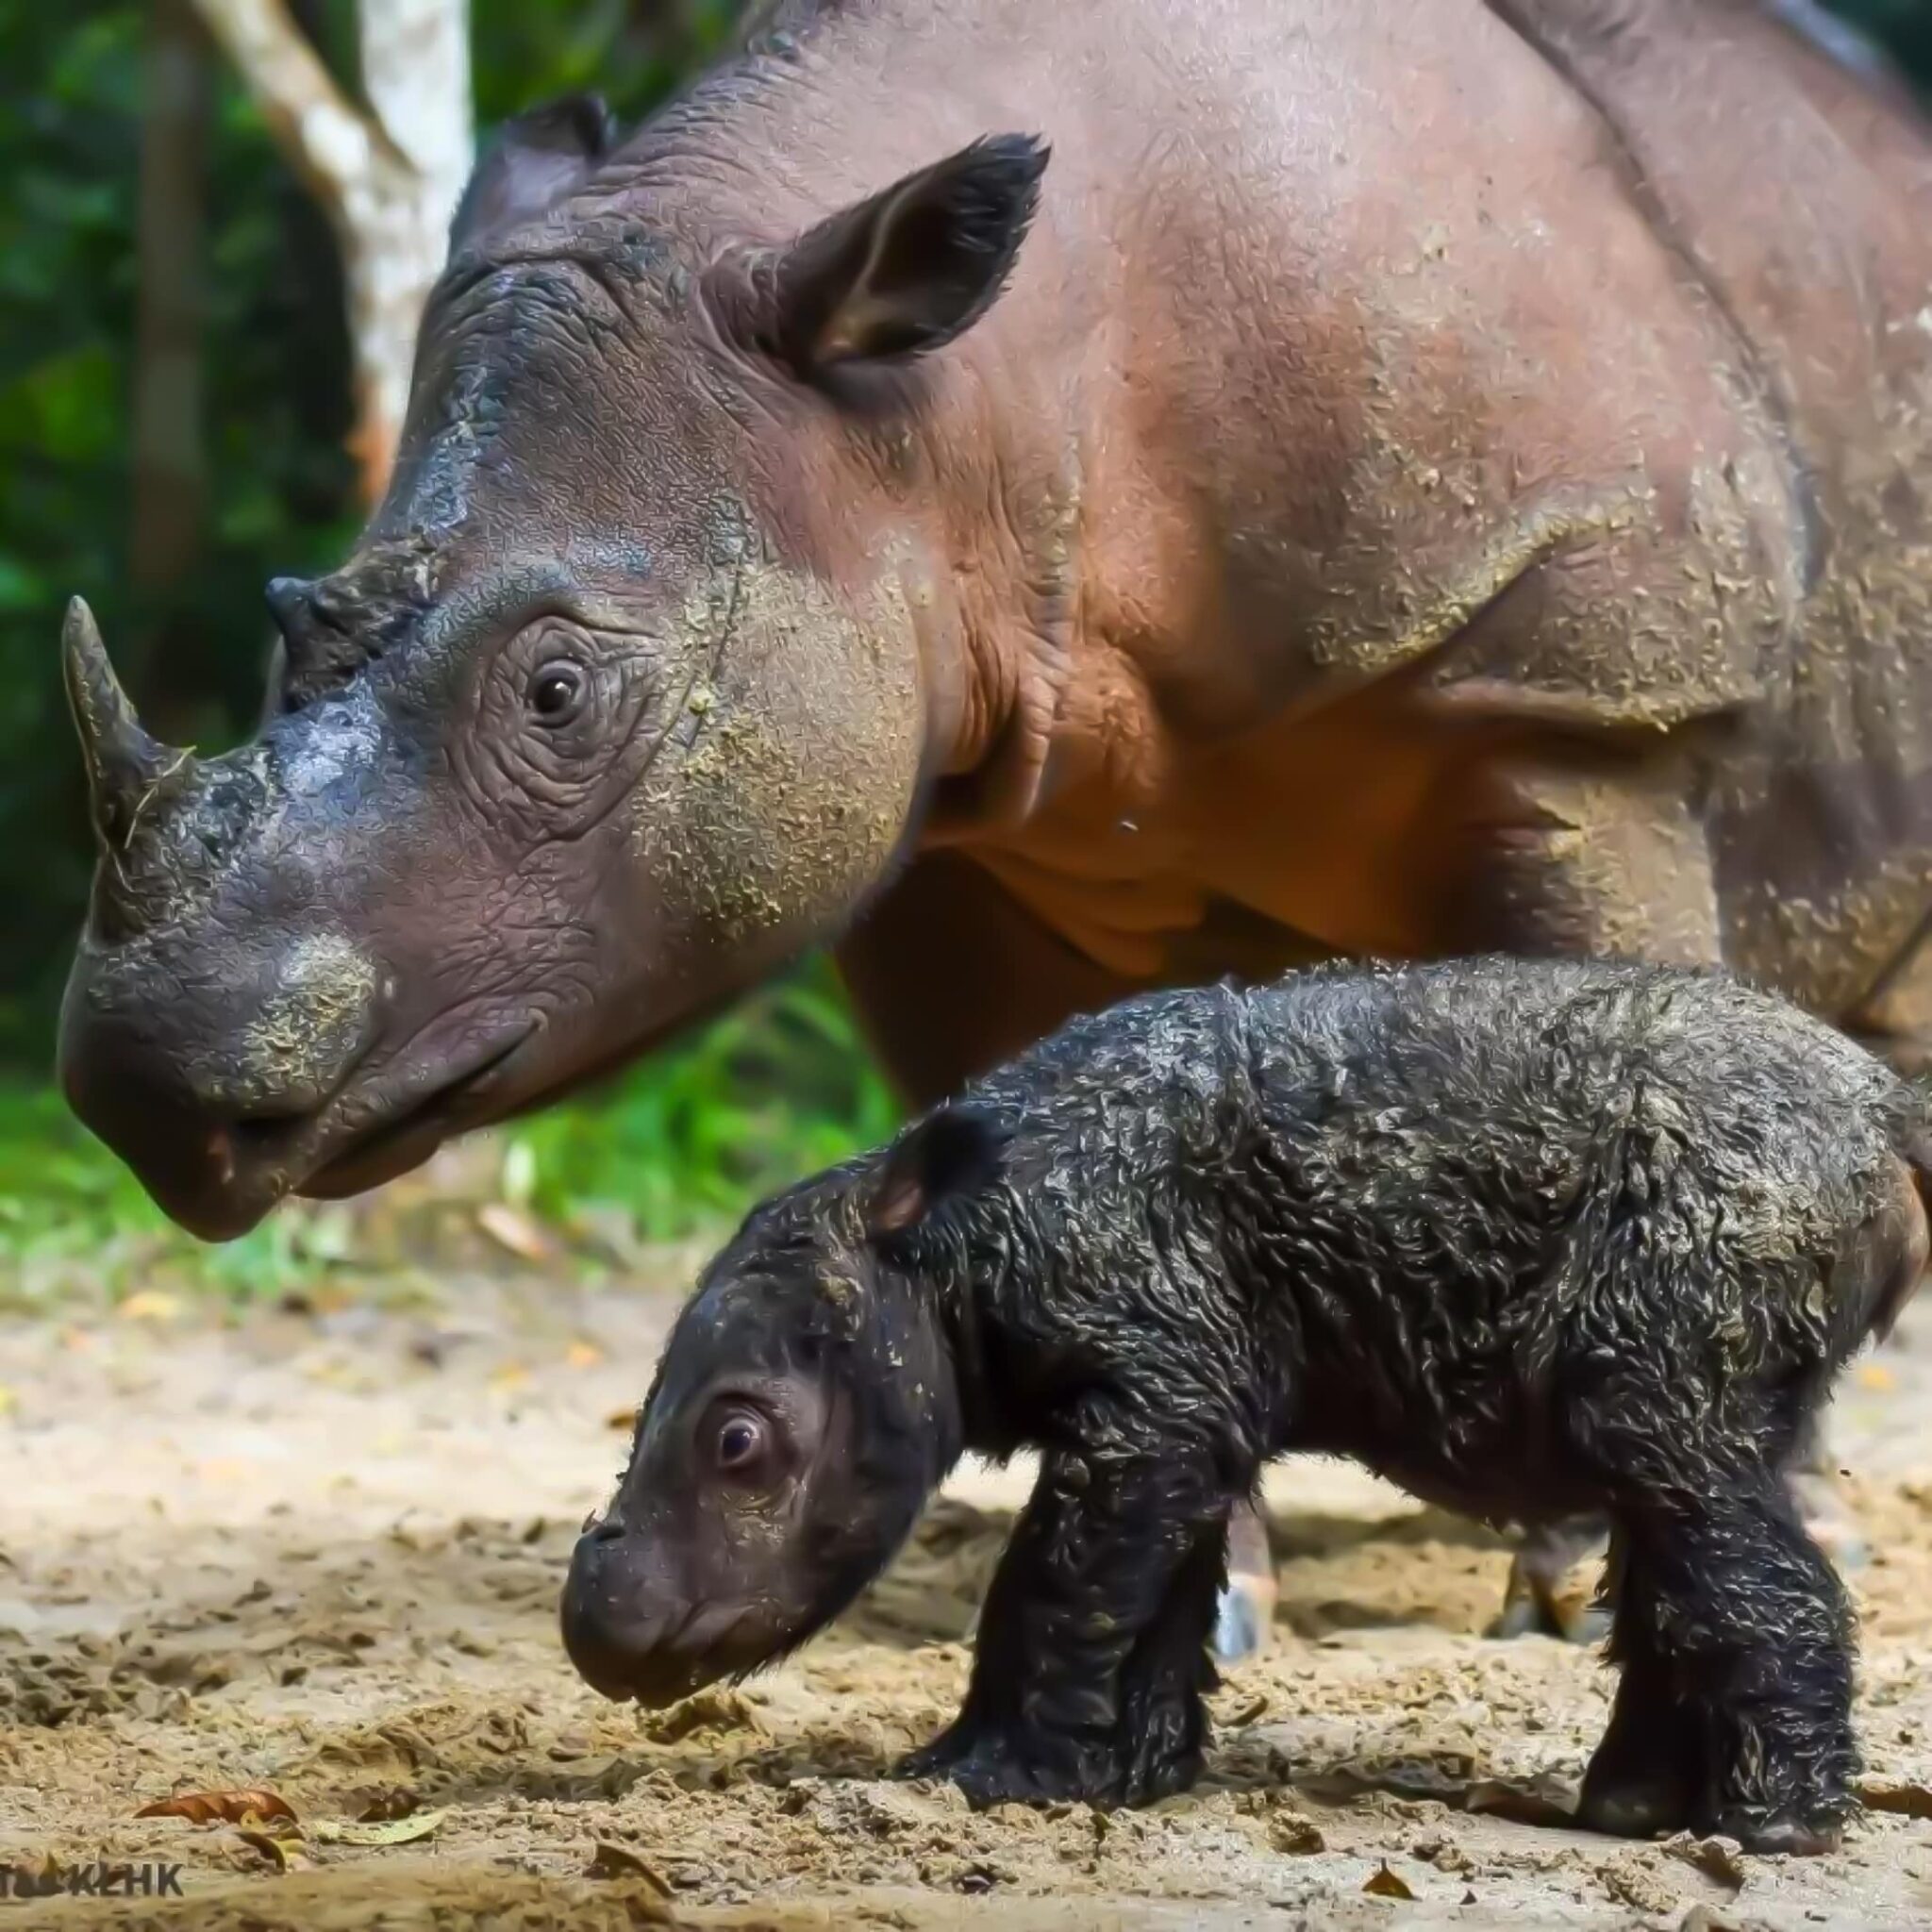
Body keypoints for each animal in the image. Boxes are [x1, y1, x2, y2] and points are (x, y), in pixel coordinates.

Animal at [59, 0, 1932, 1654]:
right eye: (289, 621)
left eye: (558, 694)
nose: (144, 1080)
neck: (951, 424)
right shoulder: (933, 805)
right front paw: (1191, 1586)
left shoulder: (1577, 692)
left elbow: (1630, 1066)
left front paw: (1582, 1597)